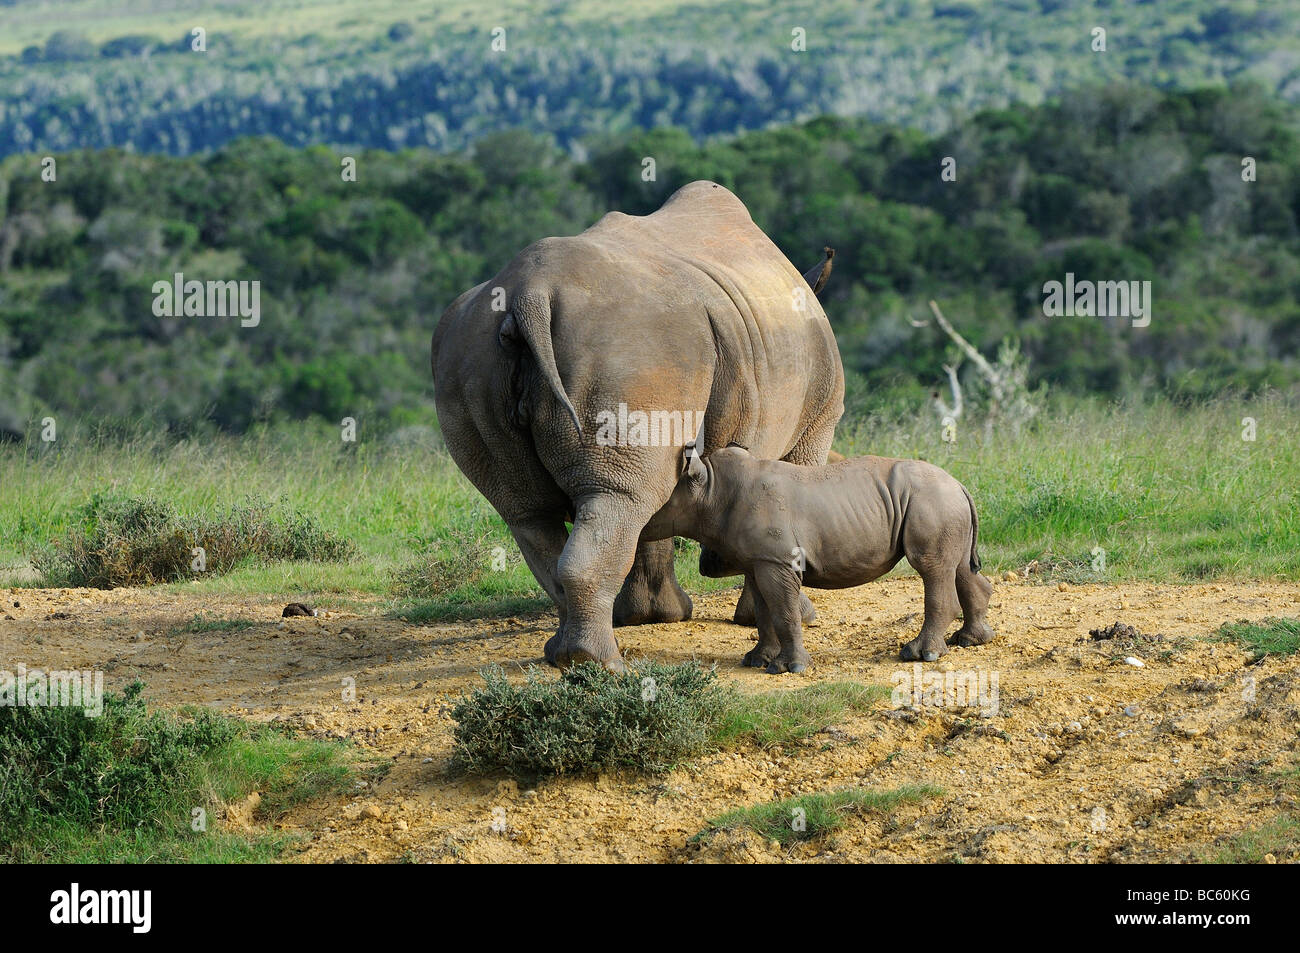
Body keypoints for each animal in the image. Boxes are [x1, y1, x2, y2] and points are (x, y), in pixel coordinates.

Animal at [432, 181, 844, 670]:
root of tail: (527, 294)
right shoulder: (816, 423)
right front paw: (795, 616)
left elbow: (658, 515)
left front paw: (654, 617)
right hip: (629, 344)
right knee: (617, 496)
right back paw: (598, 664)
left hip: (473, 350)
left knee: (532, 511)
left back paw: (566, 653)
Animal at [642, 440, 996, 673]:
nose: (639, 526)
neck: (711, 487)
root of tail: (960, 484)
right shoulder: (759, 560)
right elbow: (764, 612)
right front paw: (757, 660)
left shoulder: (777, 561)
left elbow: (783, 611)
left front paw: (789, 668)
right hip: (943, 502)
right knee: (959, 568)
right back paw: (971, 641)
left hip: (933, 501)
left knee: (931, 568)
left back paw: (920, 655)